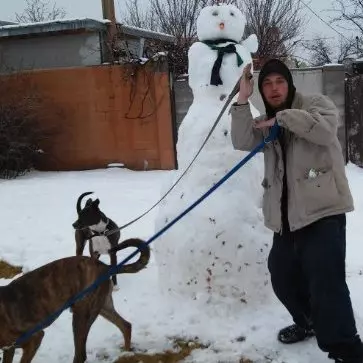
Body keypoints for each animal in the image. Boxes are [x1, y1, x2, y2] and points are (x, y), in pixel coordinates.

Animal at [0, 239, 150, 363]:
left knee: (81, 355)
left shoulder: (35, 338)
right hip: (103, 307)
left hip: (81, 316)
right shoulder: (9, 349)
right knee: (126, 325)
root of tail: (105, 266)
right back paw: (127, 354)